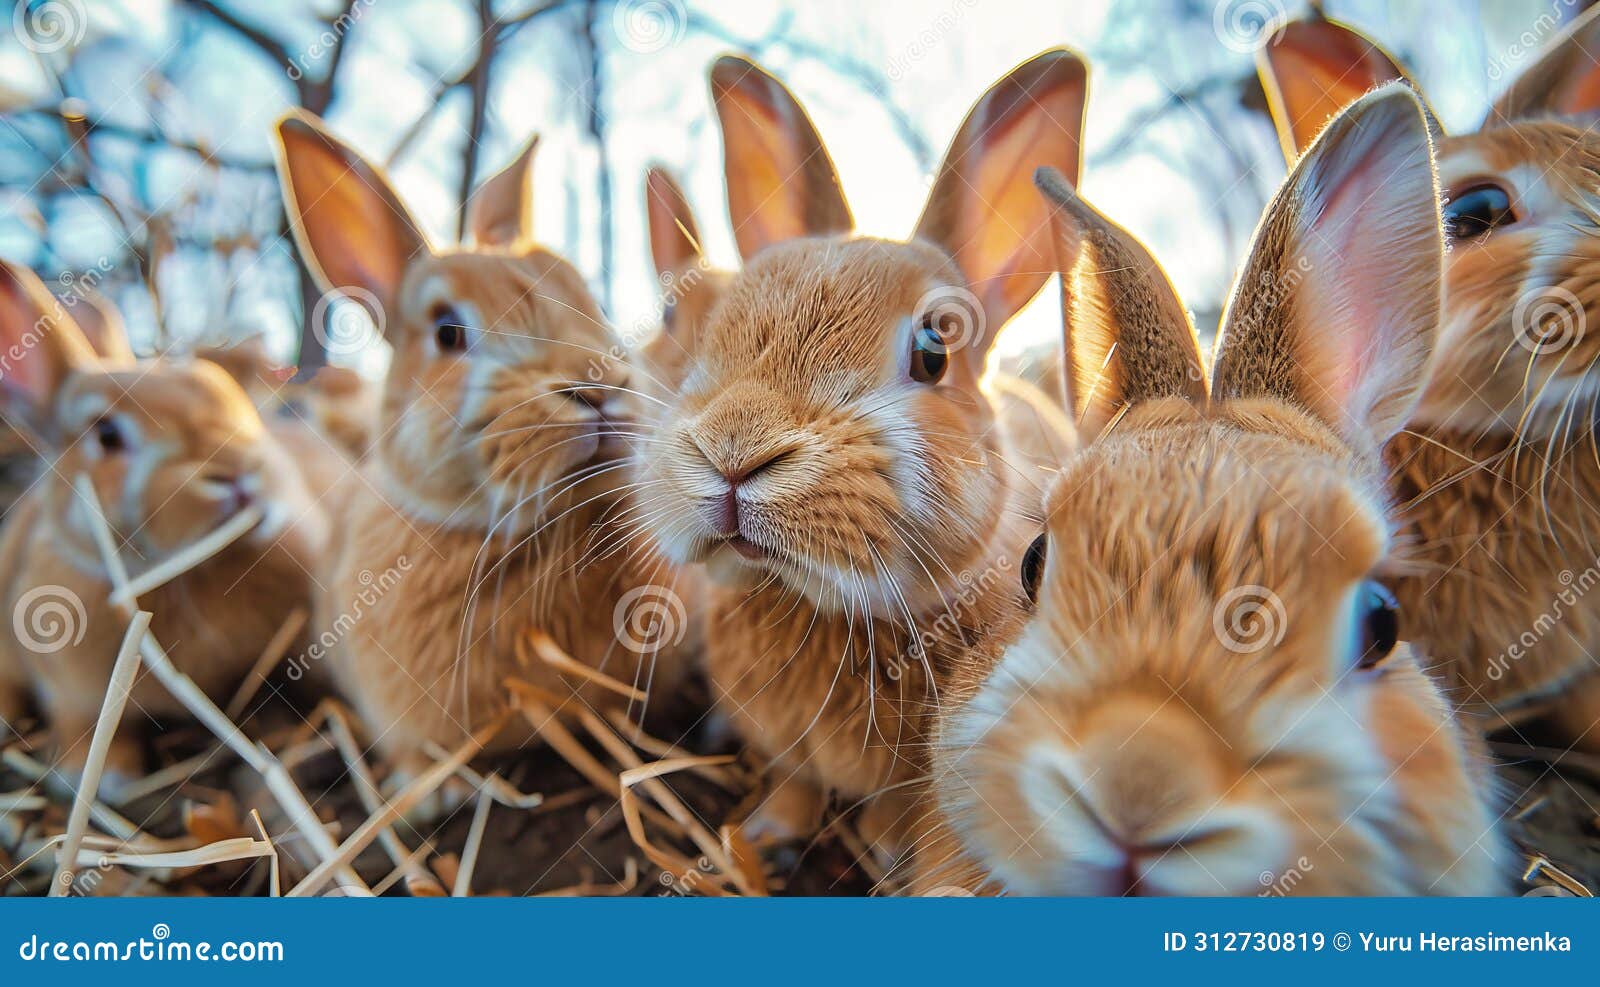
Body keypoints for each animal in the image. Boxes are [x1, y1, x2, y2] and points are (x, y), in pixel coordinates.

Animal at [0, 259, 328, 795]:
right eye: (107, 436)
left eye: (224, 391)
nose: (240, 473)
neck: (184, 577)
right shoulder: (75, 692)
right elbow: (85, 726)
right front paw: (104, 777)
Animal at [631, 49, 1087, 853]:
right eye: (720, 321)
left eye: (935, 349)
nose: (733, 453)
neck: (803, 603)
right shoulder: (785, 749)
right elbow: (795, 783)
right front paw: (768, 832)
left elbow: (893, 807)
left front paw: (884, 850)